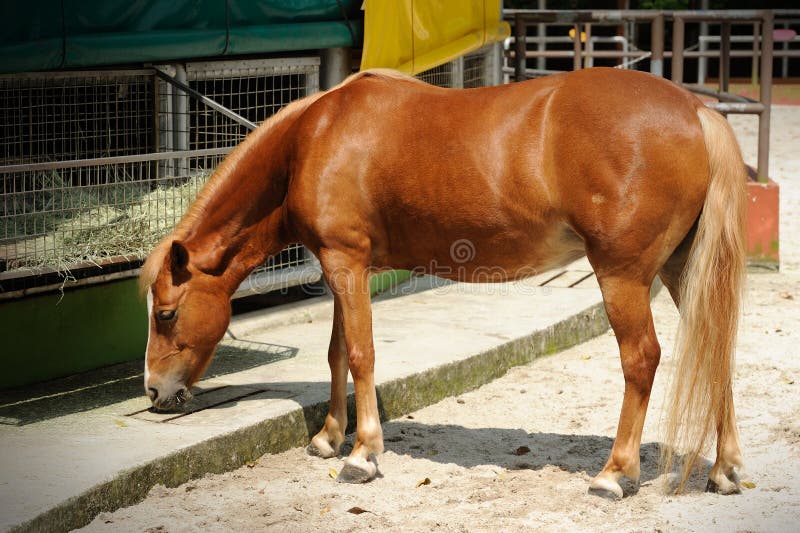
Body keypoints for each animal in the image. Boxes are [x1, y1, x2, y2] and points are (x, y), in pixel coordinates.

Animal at [140, 67, 746, 498]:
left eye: (165, 313)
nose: (153, 391)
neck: (314, 138)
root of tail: (696, 110)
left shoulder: (344, 263)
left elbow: (360, 354)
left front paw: (362, 455)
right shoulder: (346, 266)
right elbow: (338, 354)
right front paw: (330, 437)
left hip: (623, 276)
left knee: (641, 359)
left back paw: (615, 474)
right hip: (681, 270)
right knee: (716, 349)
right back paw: (724, 470)